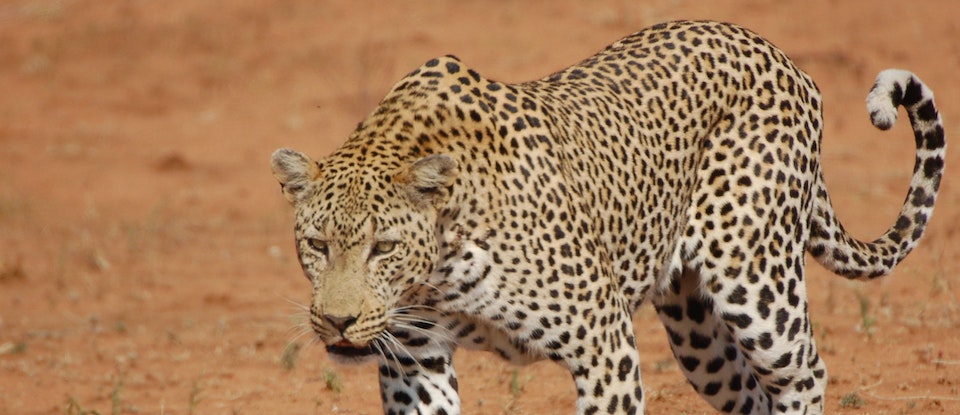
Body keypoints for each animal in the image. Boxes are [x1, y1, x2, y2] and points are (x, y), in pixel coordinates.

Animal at [270, 20, 945, 415]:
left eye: (382, 248)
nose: (337, 321)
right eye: (316, 244)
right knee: (750, 394)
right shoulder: (415, 364)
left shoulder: (603, 344)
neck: (439, 268)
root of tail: (779, 54)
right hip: (696, 334)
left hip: (758, 288)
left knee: (804, 374)